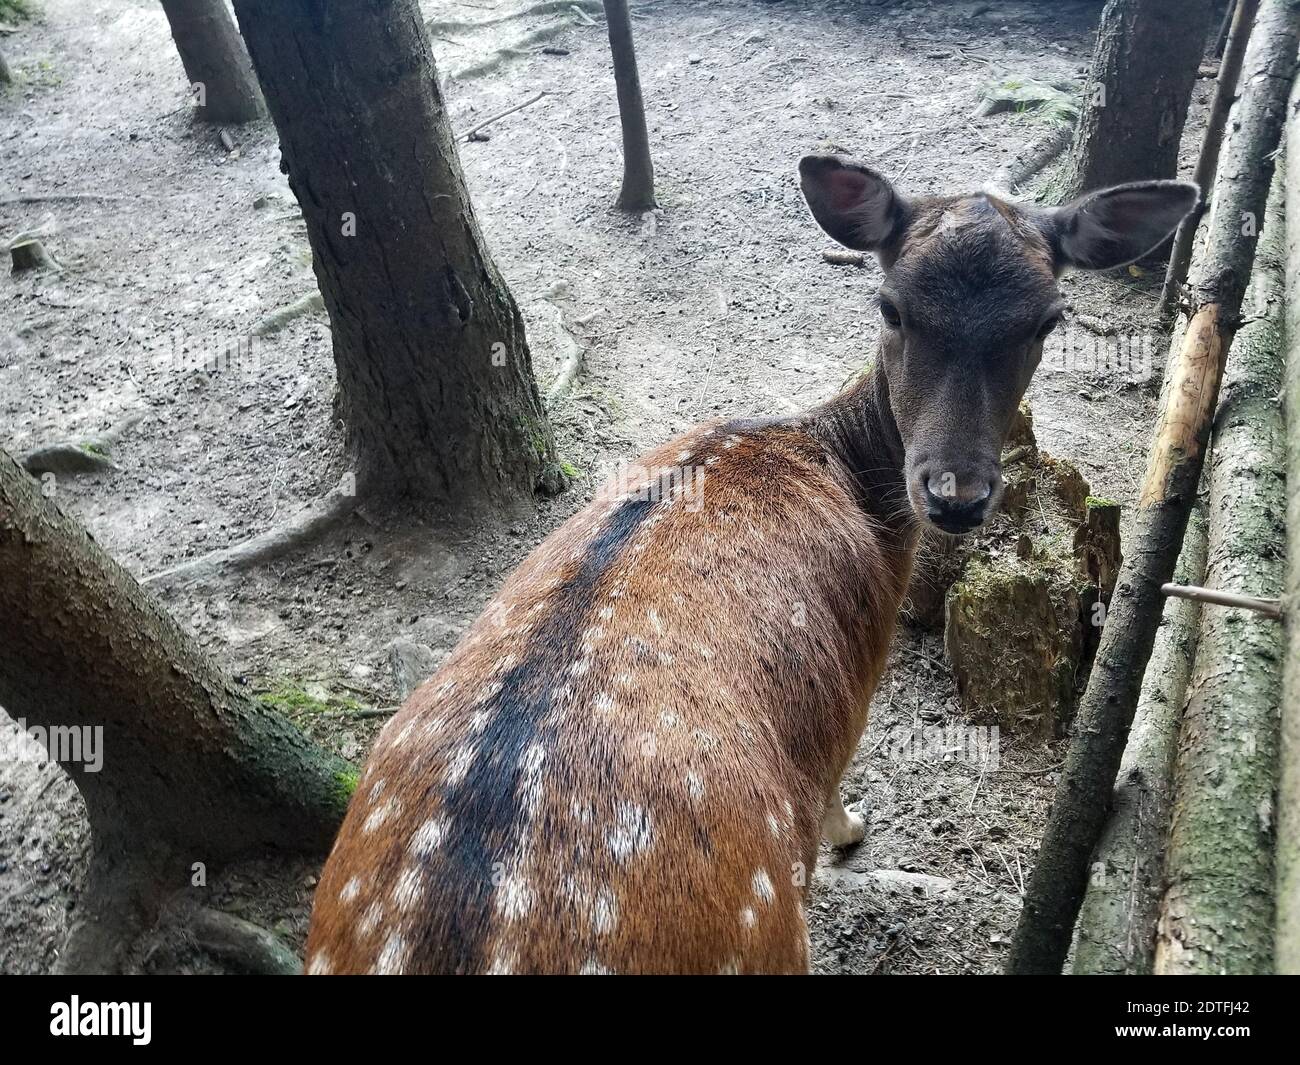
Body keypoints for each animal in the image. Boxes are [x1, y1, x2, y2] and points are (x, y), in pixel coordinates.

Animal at [304, 156, 1196, 975]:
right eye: (891, 305)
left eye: (1048, 320)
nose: (955, 493)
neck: (835, 456)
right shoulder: (861, 670)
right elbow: (838, 779)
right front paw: (851, 830)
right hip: (759, 932)